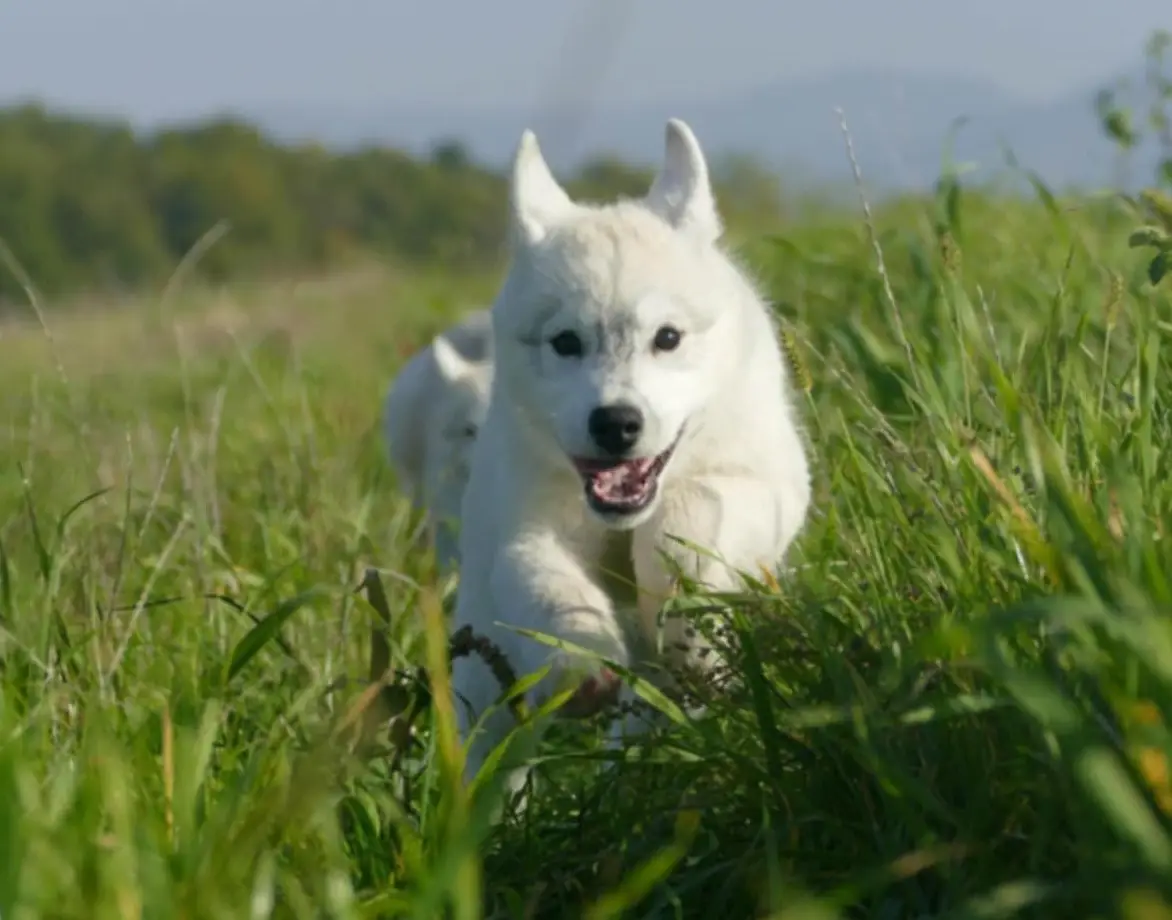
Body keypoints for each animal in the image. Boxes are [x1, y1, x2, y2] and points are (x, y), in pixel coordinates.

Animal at [450, 118, 815, 792]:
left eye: (666, 338)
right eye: (566, 342)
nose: (616, 423)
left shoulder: (766, 487)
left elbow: (691, 514)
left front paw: (687, 624)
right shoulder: (526, 530)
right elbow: (544, 582)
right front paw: (580, 660)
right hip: (483, 679)